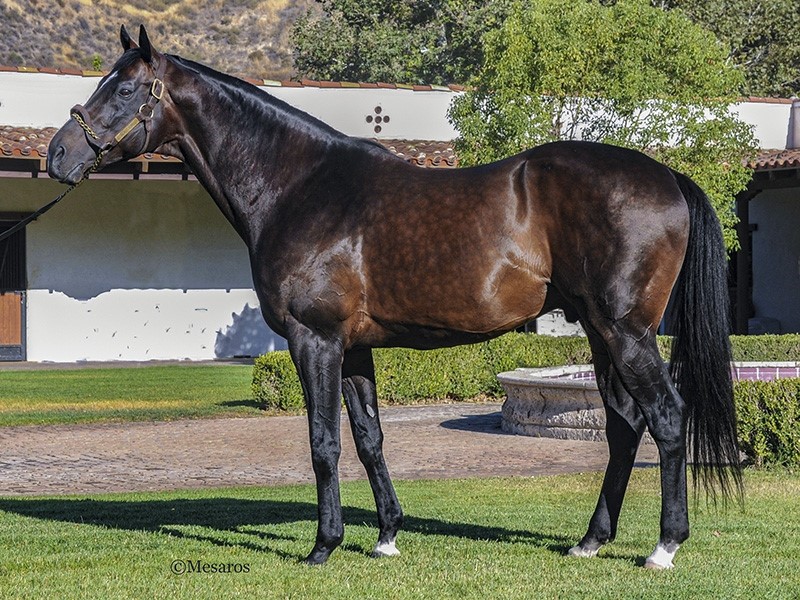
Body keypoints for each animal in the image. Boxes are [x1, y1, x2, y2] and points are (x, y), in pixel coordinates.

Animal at [47, 25, 742, 569]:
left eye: (126, 90)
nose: (58, 154)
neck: (300, 186)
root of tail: (668, 175)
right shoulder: (353, 348)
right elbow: (368, 437)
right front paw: (385, 536)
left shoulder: (315, 340)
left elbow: (323, 442)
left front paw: (323, 546)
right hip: (601, 334)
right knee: (625, 426)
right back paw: (591, 541)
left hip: (627, 332)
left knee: (667, 418)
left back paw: (664, 547)